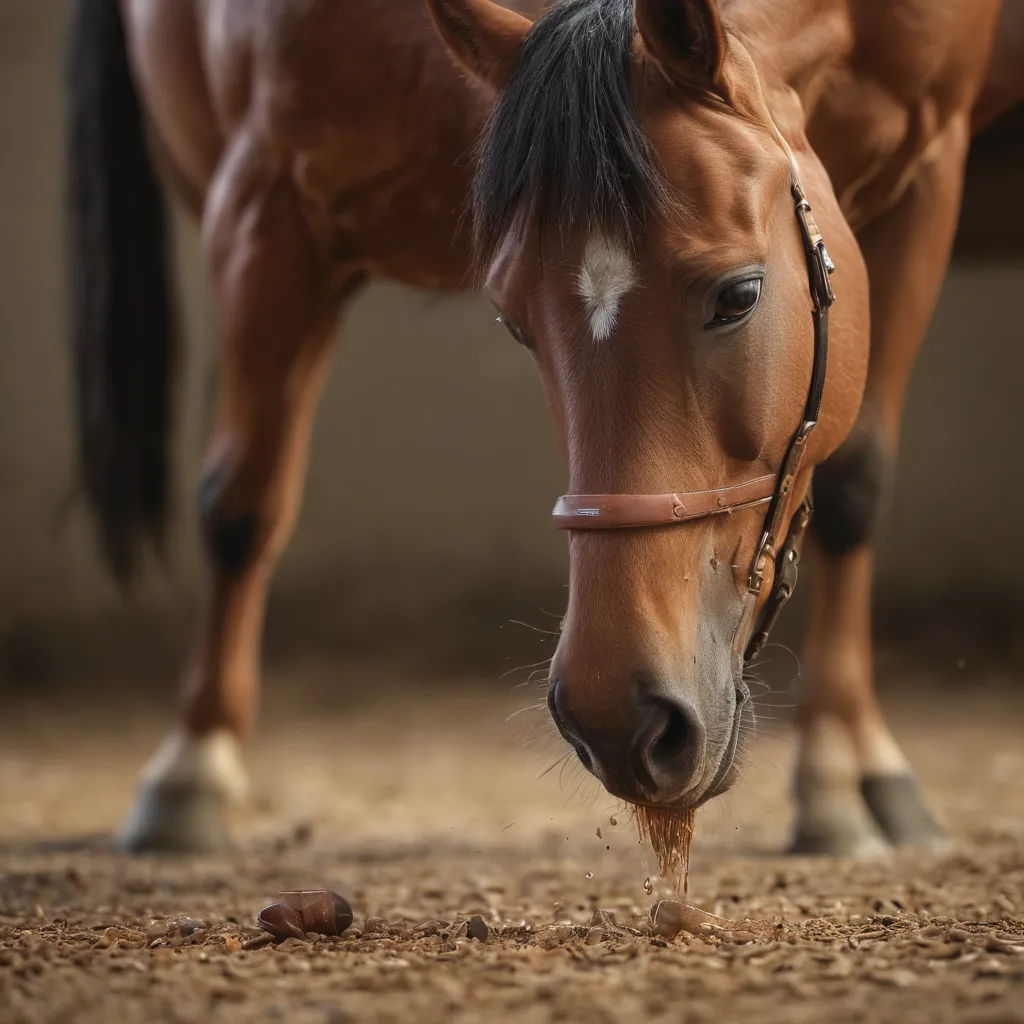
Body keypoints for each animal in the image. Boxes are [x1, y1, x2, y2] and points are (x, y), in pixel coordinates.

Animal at [66, 0, 1023, 854]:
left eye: (739, 295)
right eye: (513, 321)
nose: (617, 716)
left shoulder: (925, 173)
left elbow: (857, 484)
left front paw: (840, 773)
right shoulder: (265, 202)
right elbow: (241, 500)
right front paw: (191, 766)